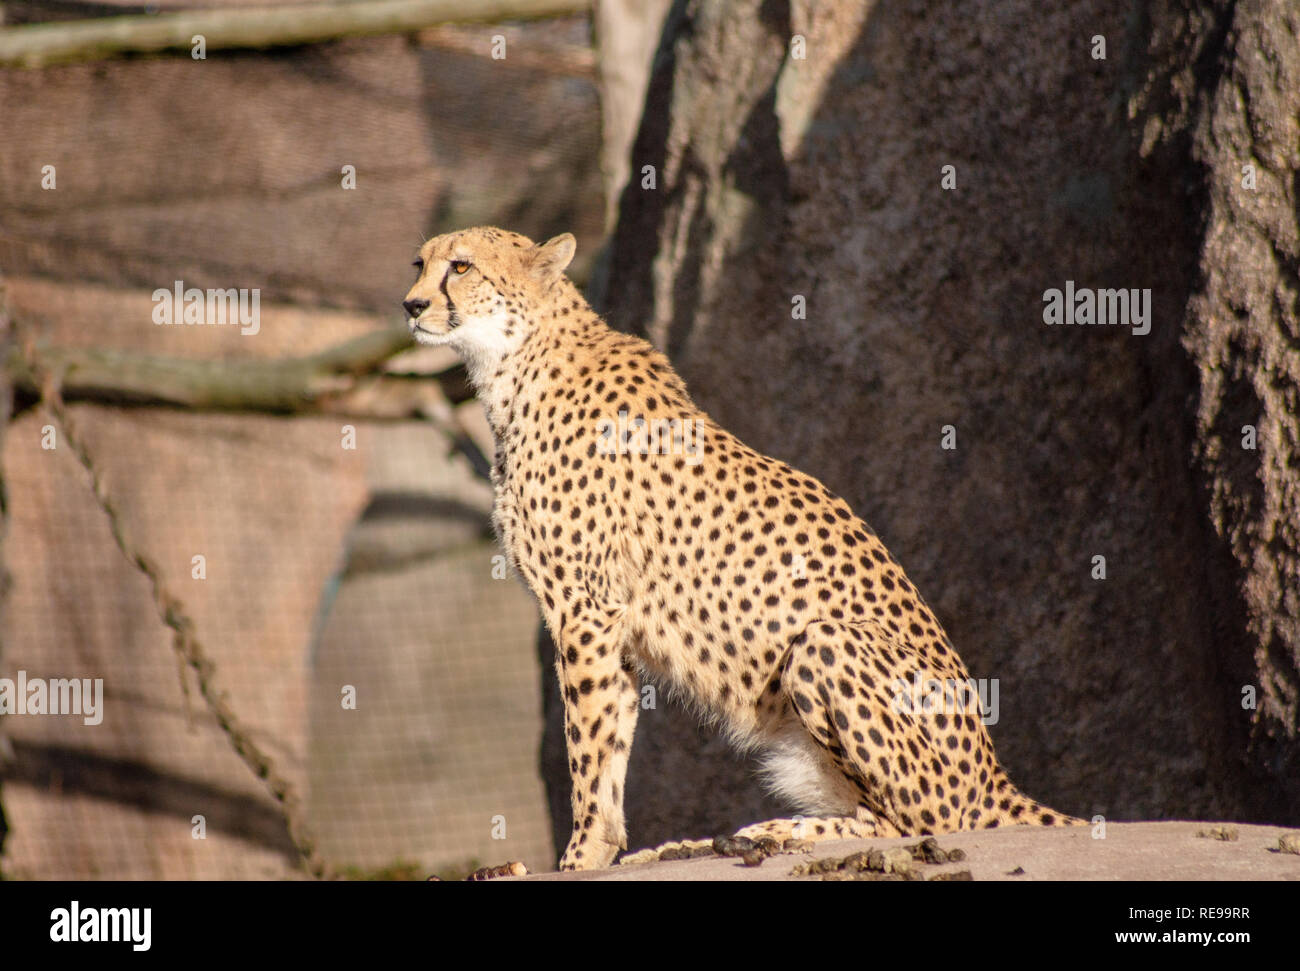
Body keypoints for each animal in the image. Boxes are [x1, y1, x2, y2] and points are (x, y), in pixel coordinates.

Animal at [402, 226, 1077, 871]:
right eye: (420, 264)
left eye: (460, 266)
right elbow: (611, 740)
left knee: (915, 821)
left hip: (826, 642)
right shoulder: (608, 622)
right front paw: (605, 847)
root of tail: (995, 779)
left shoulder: (584, 609)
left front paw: (579, 857)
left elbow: (588, 748)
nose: (411, 305)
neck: (514, 361)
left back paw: (773, 833)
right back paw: (694, 845)